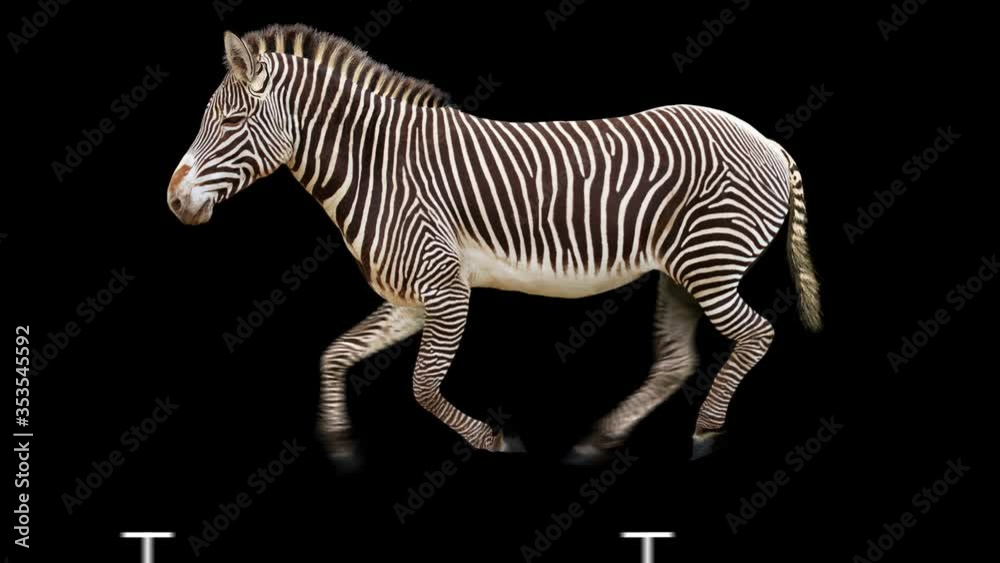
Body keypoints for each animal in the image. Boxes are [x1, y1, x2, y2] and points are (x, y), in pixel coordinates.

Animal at [167, 25, 822, 466]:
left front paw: (495, 440)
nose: (173, 201)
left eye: (230, 124)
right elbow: (334, 354)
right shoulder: (408, 299)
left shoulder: (446, 287)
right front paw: (340, 446)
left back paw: (706, 434)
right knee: (676, 360)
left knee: (756, 335)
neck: (376, 167)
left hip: (710, 261)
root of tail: (766, 139)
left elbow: (422, 387)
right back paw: (602, 439)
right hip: (681, 269)